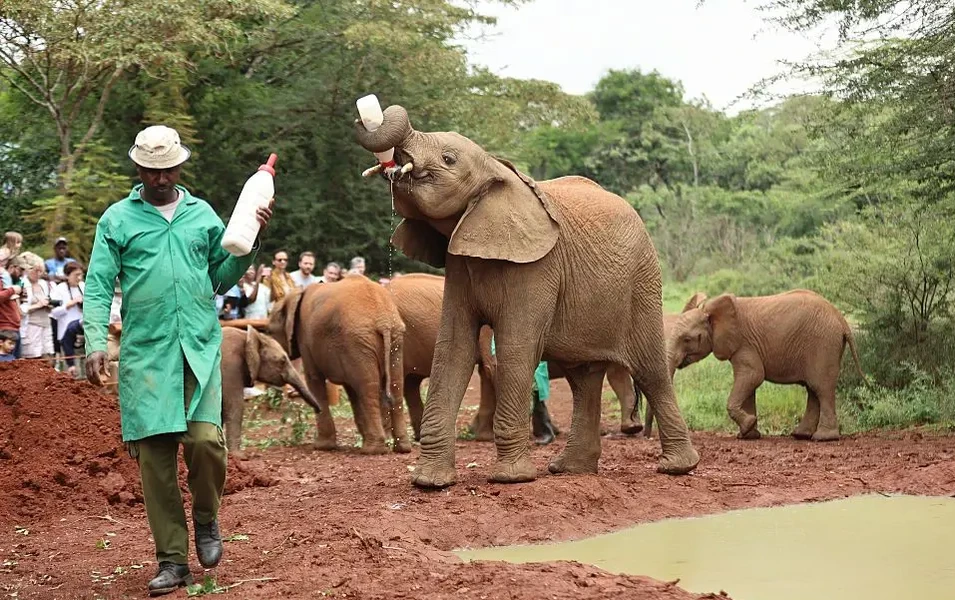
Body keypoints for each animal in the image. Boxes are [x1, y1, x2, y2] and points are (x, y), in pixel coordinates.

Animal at [220, 325, 321, 453]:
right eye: (282, 362)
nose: (318, 411)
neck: (247, 336)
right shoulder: (230, 369)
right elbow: (235, 406)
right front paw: (238, 455)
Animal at [267, 274, 409, 454]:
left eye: (269, 331)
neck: (294, 294)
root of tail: (383, 320)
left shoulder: (305, 338)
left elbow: (314, 380)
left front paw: (322, 446)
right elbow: (351, 392)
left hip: (358, 340)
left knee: (367, 388)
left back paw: (372, 450)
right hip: (394, 339)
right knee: (396, 386)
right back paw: (401, 447)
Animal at [355, 104, 699, 488]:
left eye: (448, 158)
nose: (365, 114)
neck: (496, 169)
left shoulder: (537, 267)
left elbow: (515, 347)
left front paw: (511, 479)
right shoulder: (459, 263)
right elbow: (453, 347)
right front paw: (430, 483)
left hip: (643, 282)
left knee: (650, 369)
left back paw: (677, 467)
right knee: (584, 378)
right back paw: (570, 469)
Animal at [662, 289, 865, 441]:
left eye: (687, 339)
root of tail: (841, 320)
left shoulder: (744, 344)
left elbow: (753, 376)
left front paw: (748, 426)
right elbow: (750, 383)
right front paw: (748, 435)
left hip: (823, 344)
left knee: (821, 387)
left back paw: (822, 438)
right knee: (813, 389)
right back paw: (801, 435)